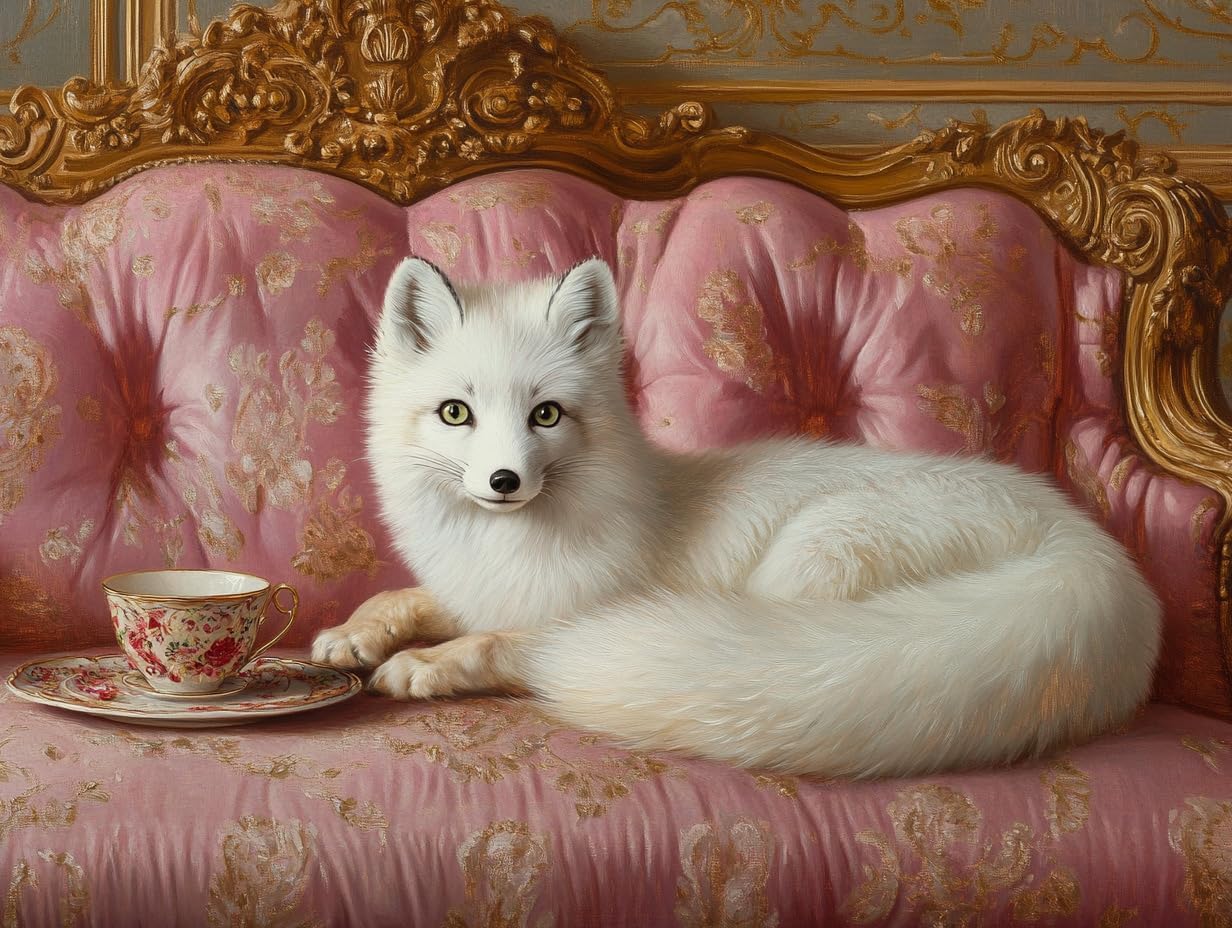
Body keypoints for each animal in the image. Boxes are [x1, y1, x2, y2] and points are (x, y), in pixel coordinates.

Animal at [311, 256, 1162, 779]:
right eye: (456, 412)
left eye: (545, 414)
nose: (504, 480)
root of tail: (1086, 546)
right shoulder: (477, 588)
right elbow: (407, 598)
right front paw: (354, 634)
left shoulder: (572, 612)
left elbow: (497, 643)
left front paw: (427, 664)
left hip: (817, 551)